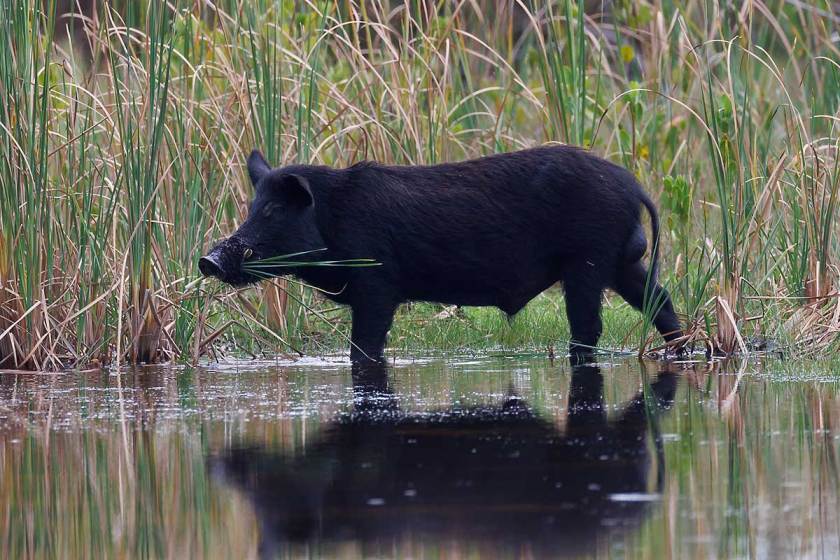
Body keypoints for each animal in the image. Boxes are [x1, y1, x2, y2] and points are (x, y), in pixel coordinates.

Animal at [199, 146, 682, 362]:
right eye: (252, 208)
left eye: (276, 210)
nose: (209, 260)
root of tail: (632, 186)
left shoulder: (377, 282)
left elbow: (365, 345)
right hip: (621, 261)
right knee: (660, 299)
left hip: (589, 260)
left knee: (589, 326)